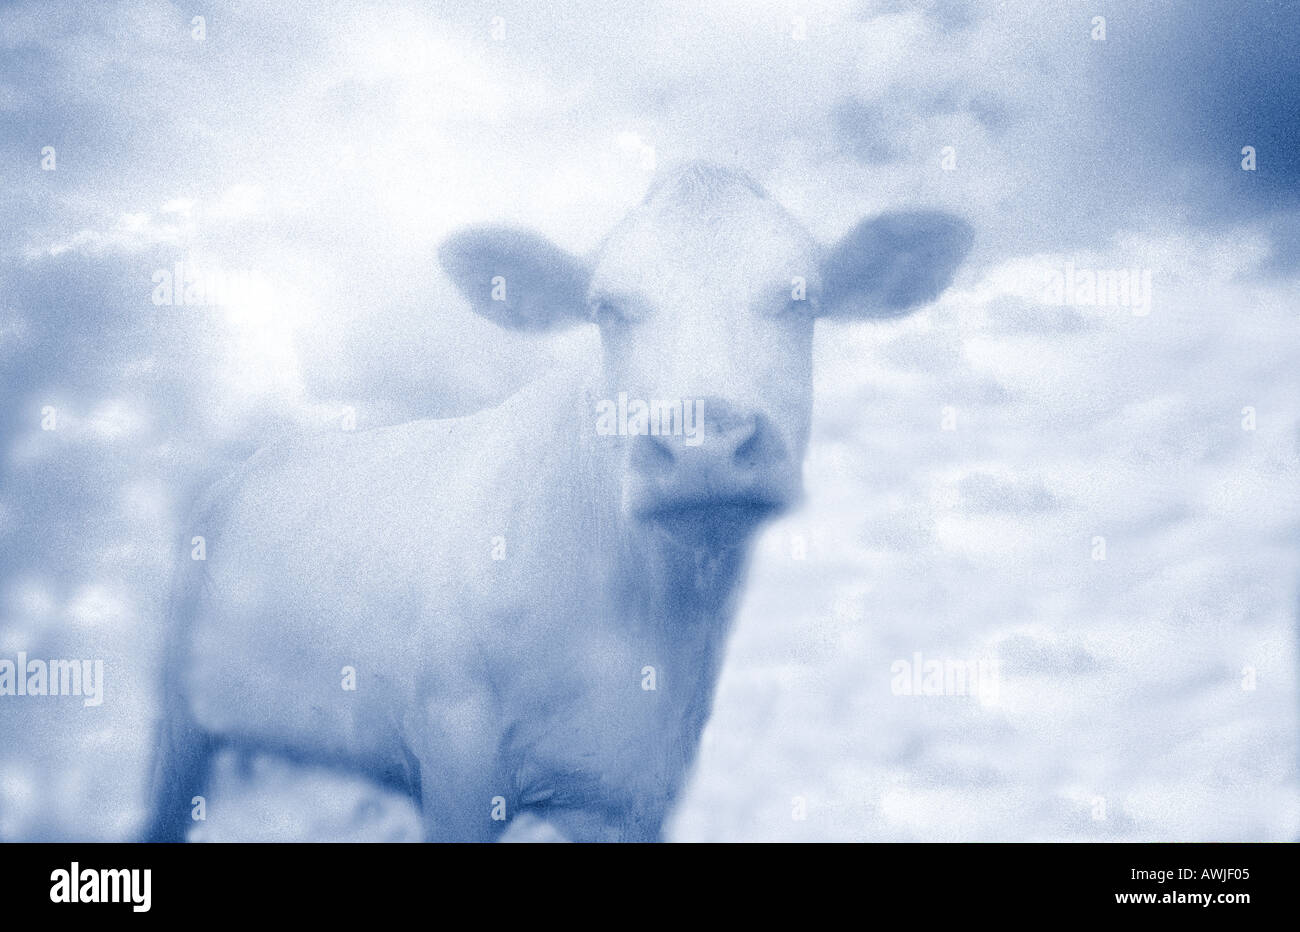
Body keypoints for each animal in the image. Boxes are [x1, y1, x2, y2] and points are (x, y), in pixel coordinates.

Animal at [143, 162, 972, 842]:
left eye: (802, 300)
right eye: (607, 308)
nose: (702, 444)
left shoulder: (641, 789)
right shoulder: (457, 755)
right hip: (178, 719)